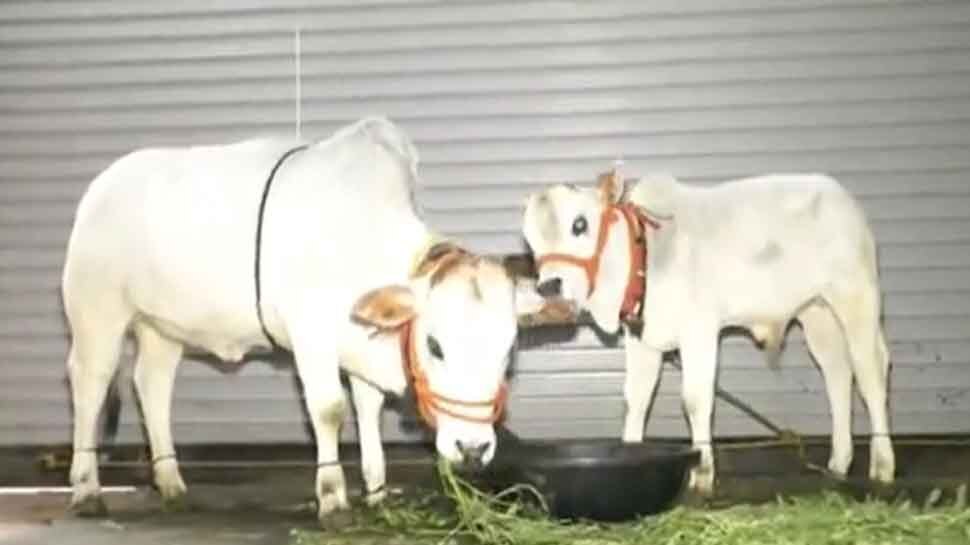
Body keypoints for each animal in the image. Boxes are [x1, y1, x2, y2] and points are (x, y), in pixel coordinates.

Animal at [61, 117, 531, 526]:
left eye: (508, 350)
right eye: (435, 345)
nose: (473, 448)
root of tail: (104, 184)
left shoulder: (362, 342)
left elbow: (369, 409)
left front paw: (377, 493)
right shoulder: (312, 336)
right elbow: (330, 409)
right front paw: (333, 498)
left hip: (162, 327)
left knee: (152, 385)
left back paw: (171, 483)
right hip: (97, 310)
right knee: (90, 383)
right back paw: (86, 489)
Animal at [521, 168, 895, 497]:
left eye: (579, 224)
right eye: (529, 239)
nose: (549, 286)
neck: (647, 253)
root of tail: (839, 194)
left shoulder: (698, 331)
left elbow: (696, 400)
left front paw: (702, 473)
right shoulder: (642, 340)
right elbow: (636, 399)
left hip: (856, 298)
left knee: (870, 374)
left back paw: (882, 463)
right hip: (817, 312)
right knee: (837, 374)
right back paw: (839, 461)